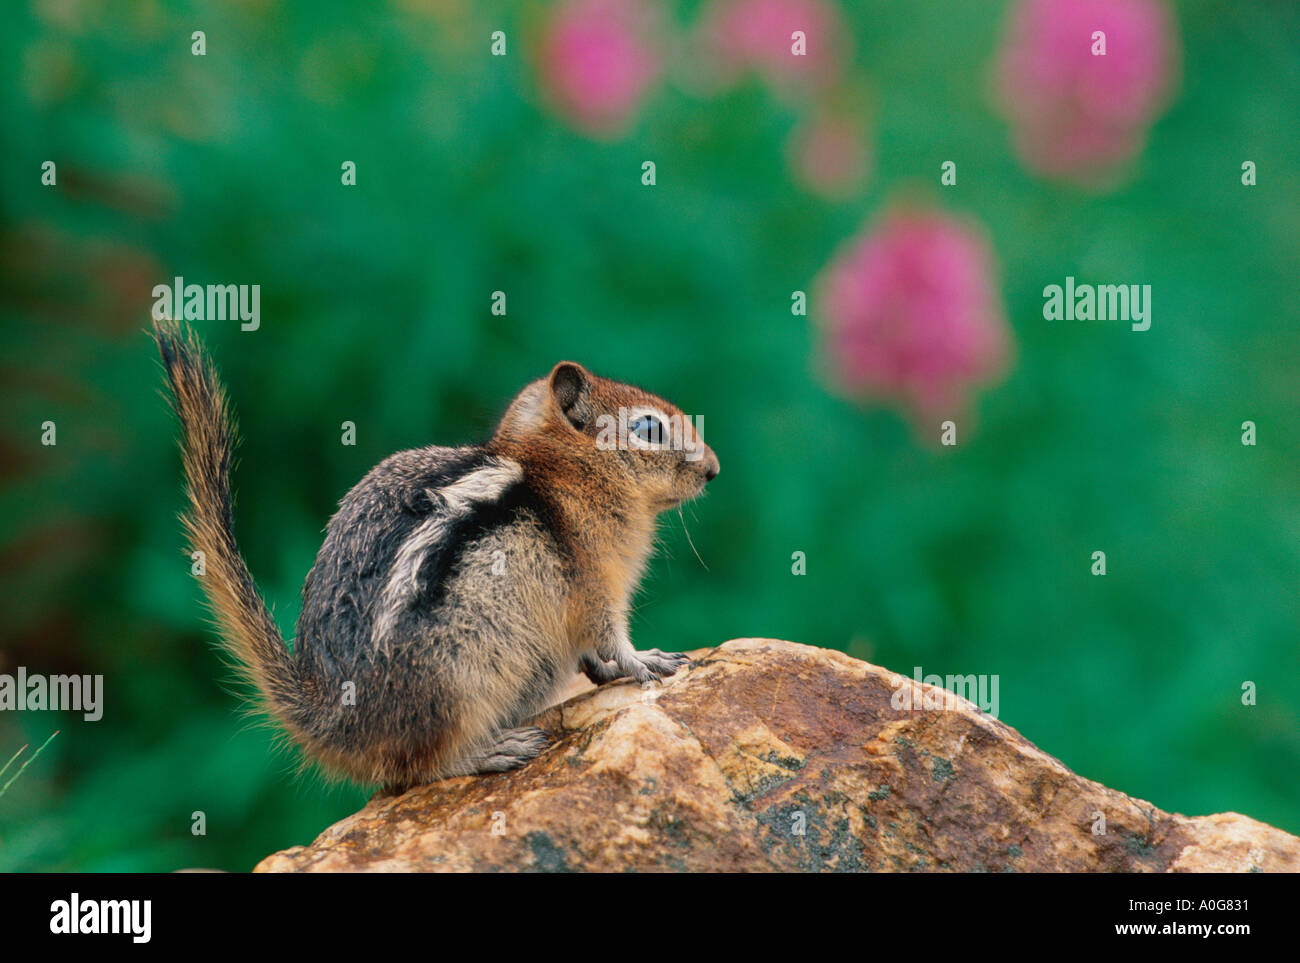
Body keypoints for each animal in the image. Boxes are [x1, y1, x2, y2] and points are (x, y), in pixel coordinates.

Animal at [152, 319, 719, 791]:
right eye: (648, 428)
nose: (714, 468)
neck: (557, 472)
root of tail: (333, 719)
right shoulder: (595, 584)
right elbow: (611, 636)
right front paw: (647, 661)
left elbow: (590, 654)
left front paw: (609, 671)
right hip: (459, 683)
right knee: (421, 767)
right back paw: (495, 749)